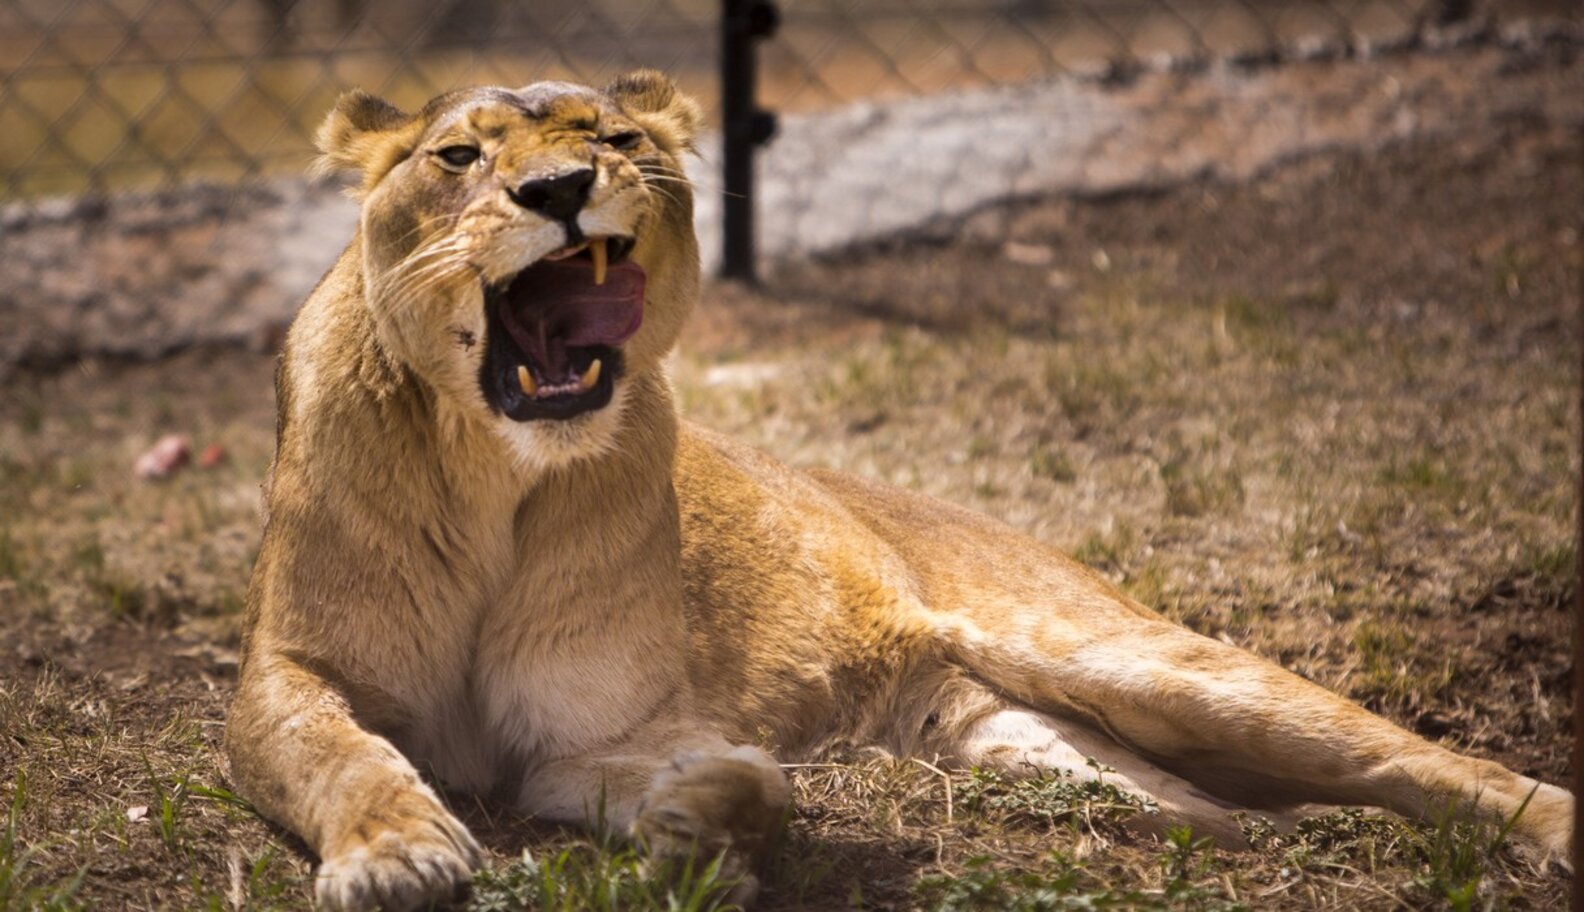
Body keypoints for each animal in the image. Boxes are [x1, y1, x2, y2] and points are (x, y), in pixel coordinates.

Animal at [225, 72, 1573, 911]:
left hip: (1145, 663)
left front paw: (695, 830)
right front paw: (399, 852)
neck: (501, 478)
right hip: (1052, 749)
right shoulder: (291, 674)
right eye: (457, 158)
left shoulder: (598, 731)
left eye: (615, 142)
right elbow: (342, 755)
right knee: (1238, 812)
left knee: (1439, 766)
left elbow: (746, 779)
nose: (558, 192)